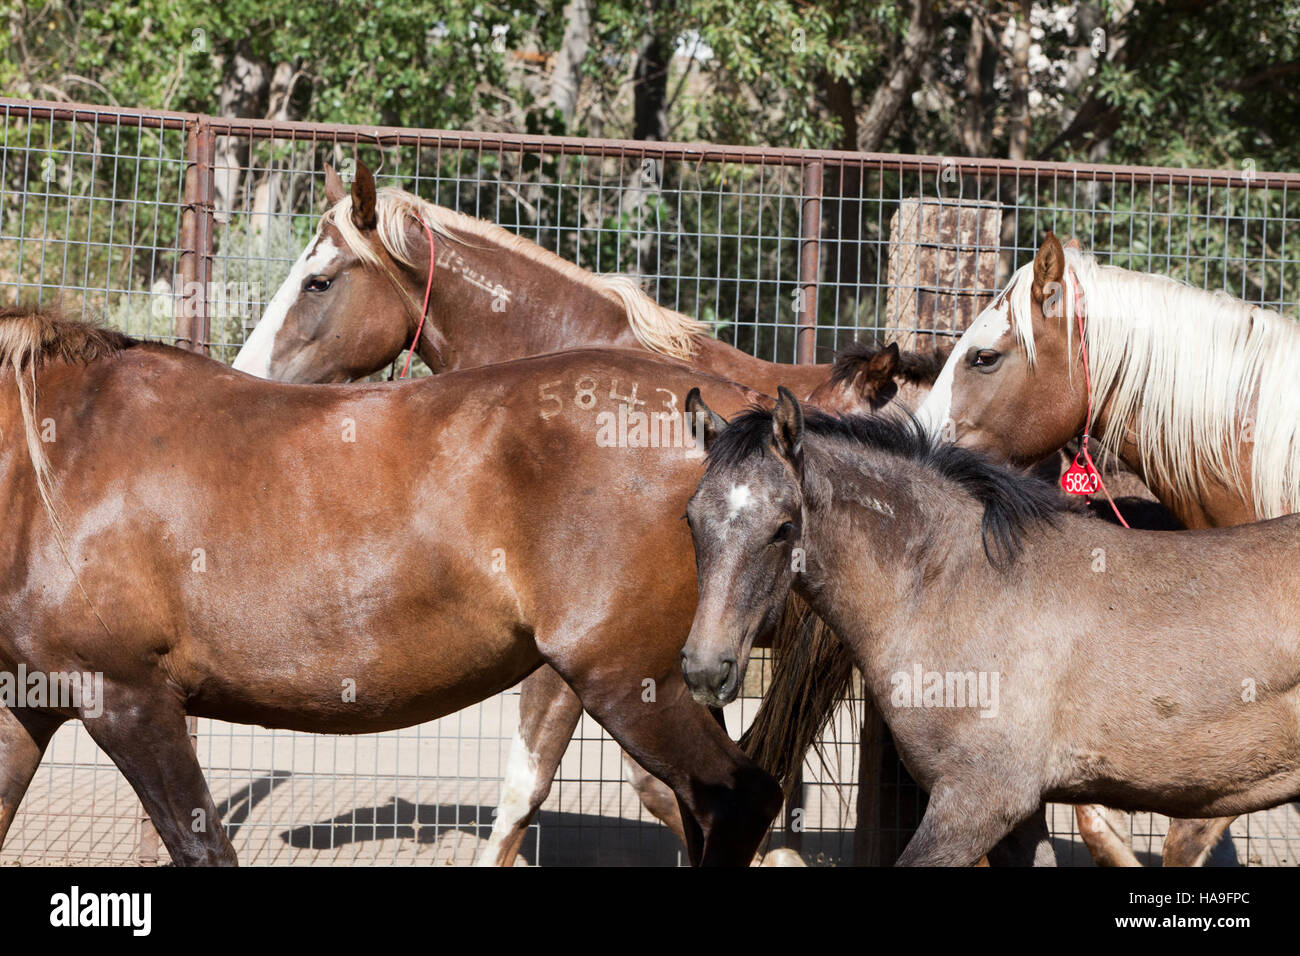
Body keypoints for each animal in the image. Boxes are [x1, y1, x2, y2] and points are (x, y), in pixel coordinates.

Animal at [0, 305, 791, 866]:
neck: (49, 466)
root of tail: (734, 409)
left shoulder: (128, 699)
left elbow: (203, 847)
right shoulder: (27, 704)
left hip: (632, 681)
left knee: (740, 800)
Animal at [681, 388, 1300, 866]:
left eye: (784, 528)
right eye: (690, 518)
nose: (706, 669)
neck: (959, 588)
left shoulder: (977, 802)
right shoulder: (1019, 814)